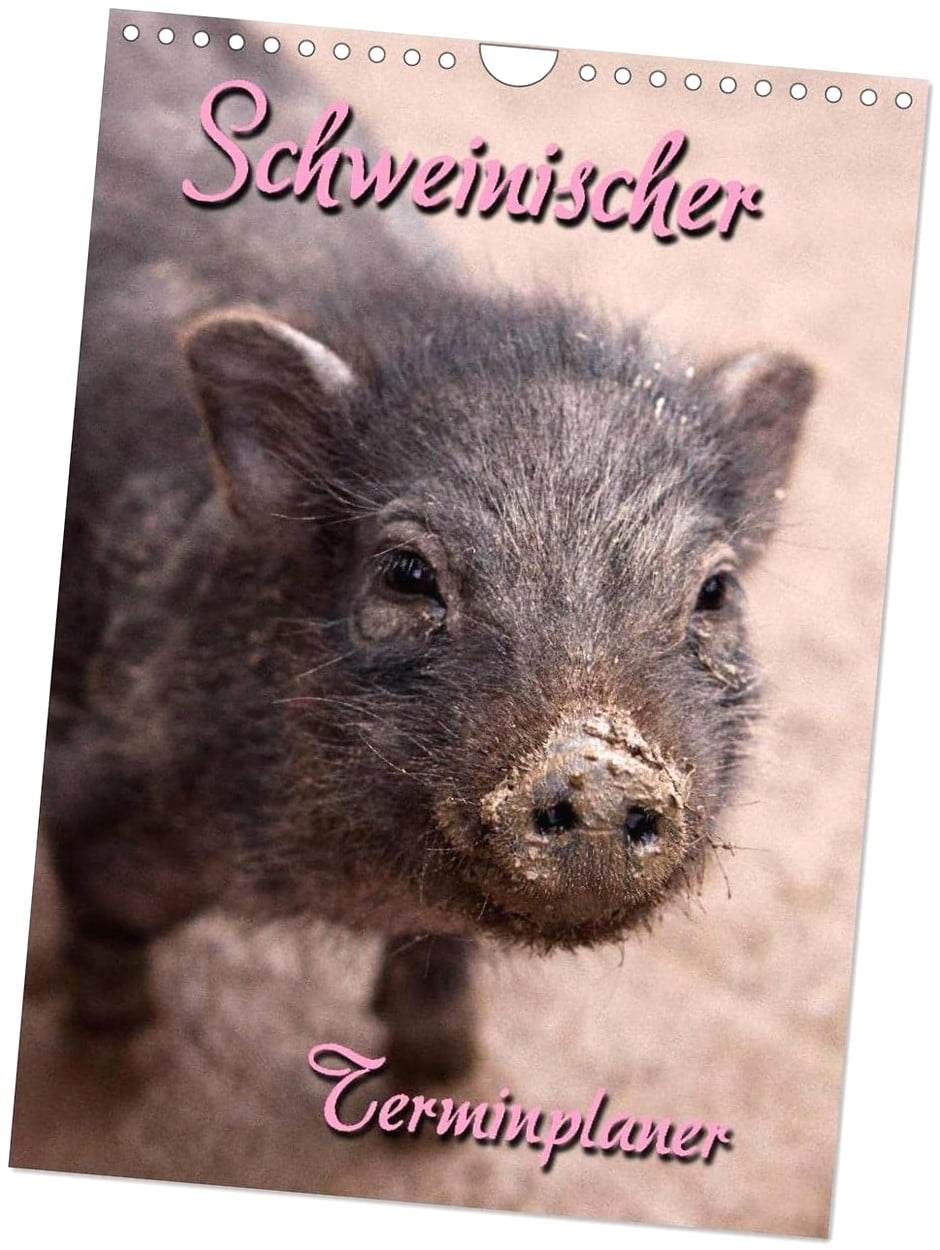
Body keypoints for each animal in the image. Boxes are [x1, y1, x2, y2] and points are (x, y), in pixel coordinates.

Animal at [37, 13, 815, 1083]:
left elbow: (441, 958)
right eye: (407, 575)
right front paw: (114, 1061)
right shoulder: (97, 792)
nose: (602, 759)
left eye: (716, 591)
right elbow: (108, 936)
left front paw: (443, 1075)